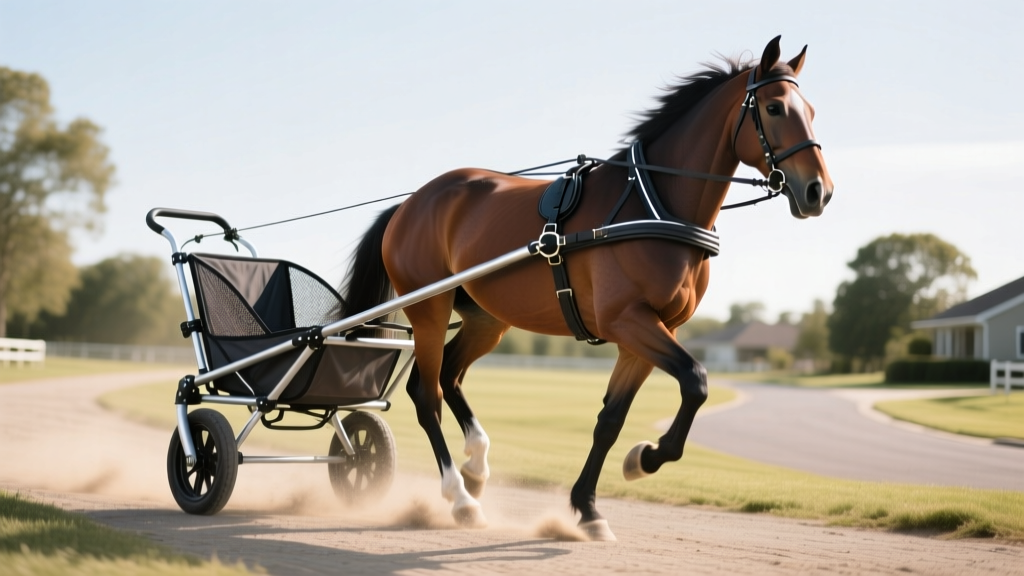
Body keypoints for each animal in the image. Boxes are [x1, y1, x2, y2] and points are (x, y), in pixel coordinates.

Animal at [342, 36, 833, 541]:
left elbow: (610, 420)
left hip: (486, 318)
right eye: (774, 107)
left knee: (449, 377)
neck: (654, 204)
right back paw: (459, 497)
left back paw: (476, 467)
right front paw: (647, 458)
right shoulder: (628, 321)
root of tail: (411, 203)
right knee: (427, 395)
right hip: (430, 309)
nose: (819, 191)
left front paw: (593, 503)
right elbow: (695, 381)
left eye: (812, 110)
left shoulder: (649, 332)